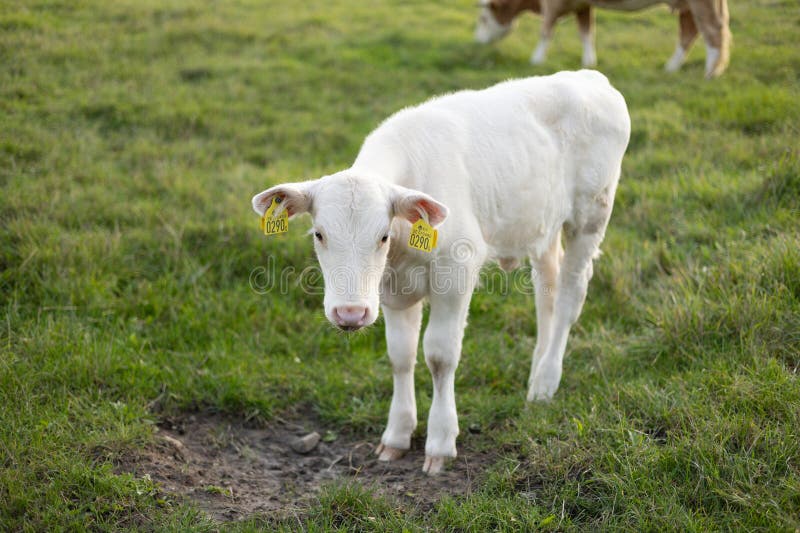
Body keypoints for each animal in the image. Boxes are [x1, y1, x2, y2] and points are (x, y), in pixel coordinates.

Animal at [252, 70, 631, 474]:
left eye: (382, 235)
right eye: (319, 234)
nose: (350, 313)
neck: (402, 253)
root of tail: (589, 77)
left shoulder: (457, 271)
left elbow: (439, 355)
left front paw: (441, 441)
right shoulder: (392, 291)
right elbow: (400, 355)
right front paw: (397, 435)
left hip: (591, 216)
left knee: (570, 296)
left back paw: (546, 381)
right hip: (542, 225)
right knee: (549, 290)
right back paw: (537, 371)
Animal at [474, 0, 731, 78]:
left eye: (483, 19)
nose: (477, 40)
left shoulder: (552, 4)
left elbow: (546, 30)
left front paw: (536, 60)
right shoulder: (582, 5)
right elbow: (586, 32)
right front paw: (589, 61)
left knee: (714, 31)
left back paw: (711, 72)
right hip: (687, 7)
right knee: (689, 34)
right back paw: (672, 67)